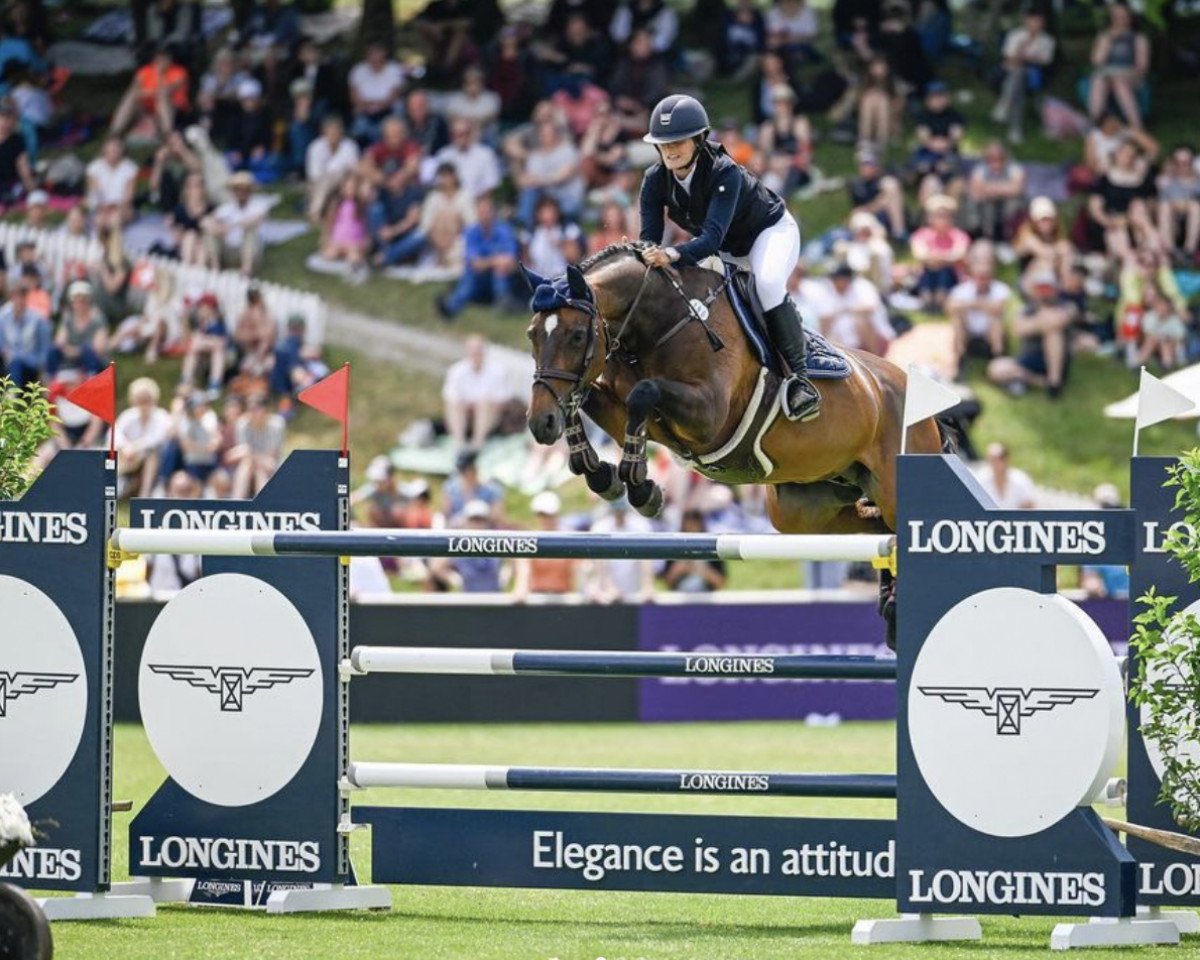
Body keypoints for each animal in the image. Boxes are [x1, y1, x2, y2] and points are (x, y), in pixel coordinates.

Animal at [523, 241, 944, 542]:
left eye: (577, 335)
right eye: (532, 335)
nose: (540, 424)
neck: (658, 324)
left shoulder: (710, 418)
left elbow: (643, 392)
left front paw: (638, 484)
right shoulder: (636, 415)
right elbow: (587, 398)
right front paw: (600, 474)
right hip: (804, 510)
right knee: (872, 524)